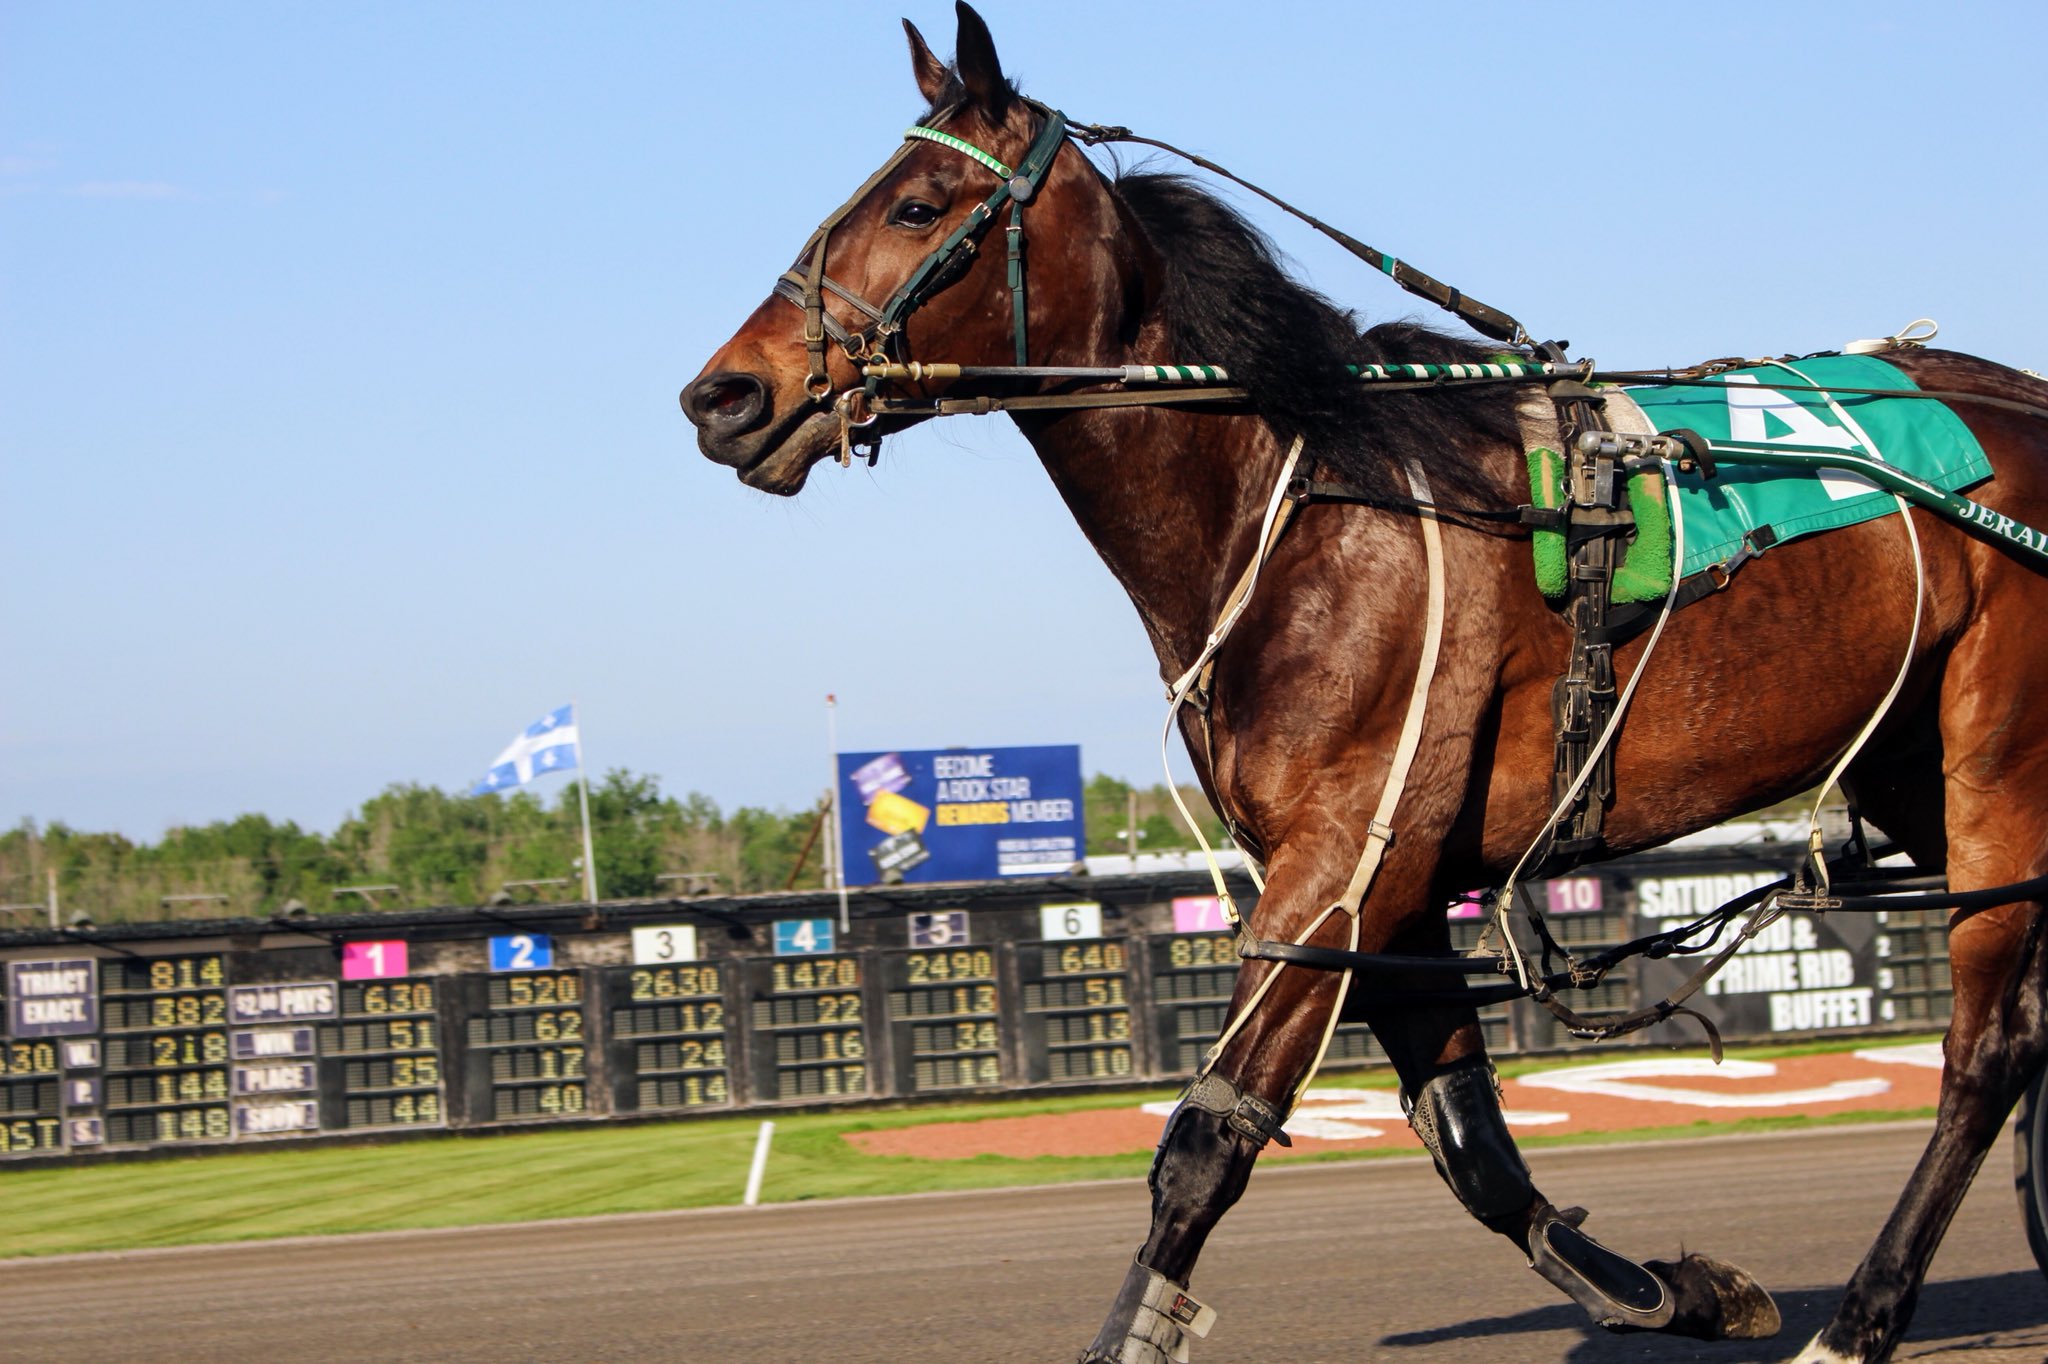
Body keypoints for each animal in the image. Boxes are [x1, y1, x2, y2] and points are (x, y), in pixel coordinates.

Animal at [682, 7, 2048, 1360]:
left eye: (916, 205)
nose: (724, 393)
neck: (1305, 500)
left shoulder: (1345, 854)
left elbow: (1206, 1138)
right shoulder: (1397, 879)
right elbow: (1472, 1143)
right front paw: (1681, 1287)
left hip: (1997, 764)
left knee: (1987, 1050)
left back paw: (1859, 1318)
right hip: (1910, 764)